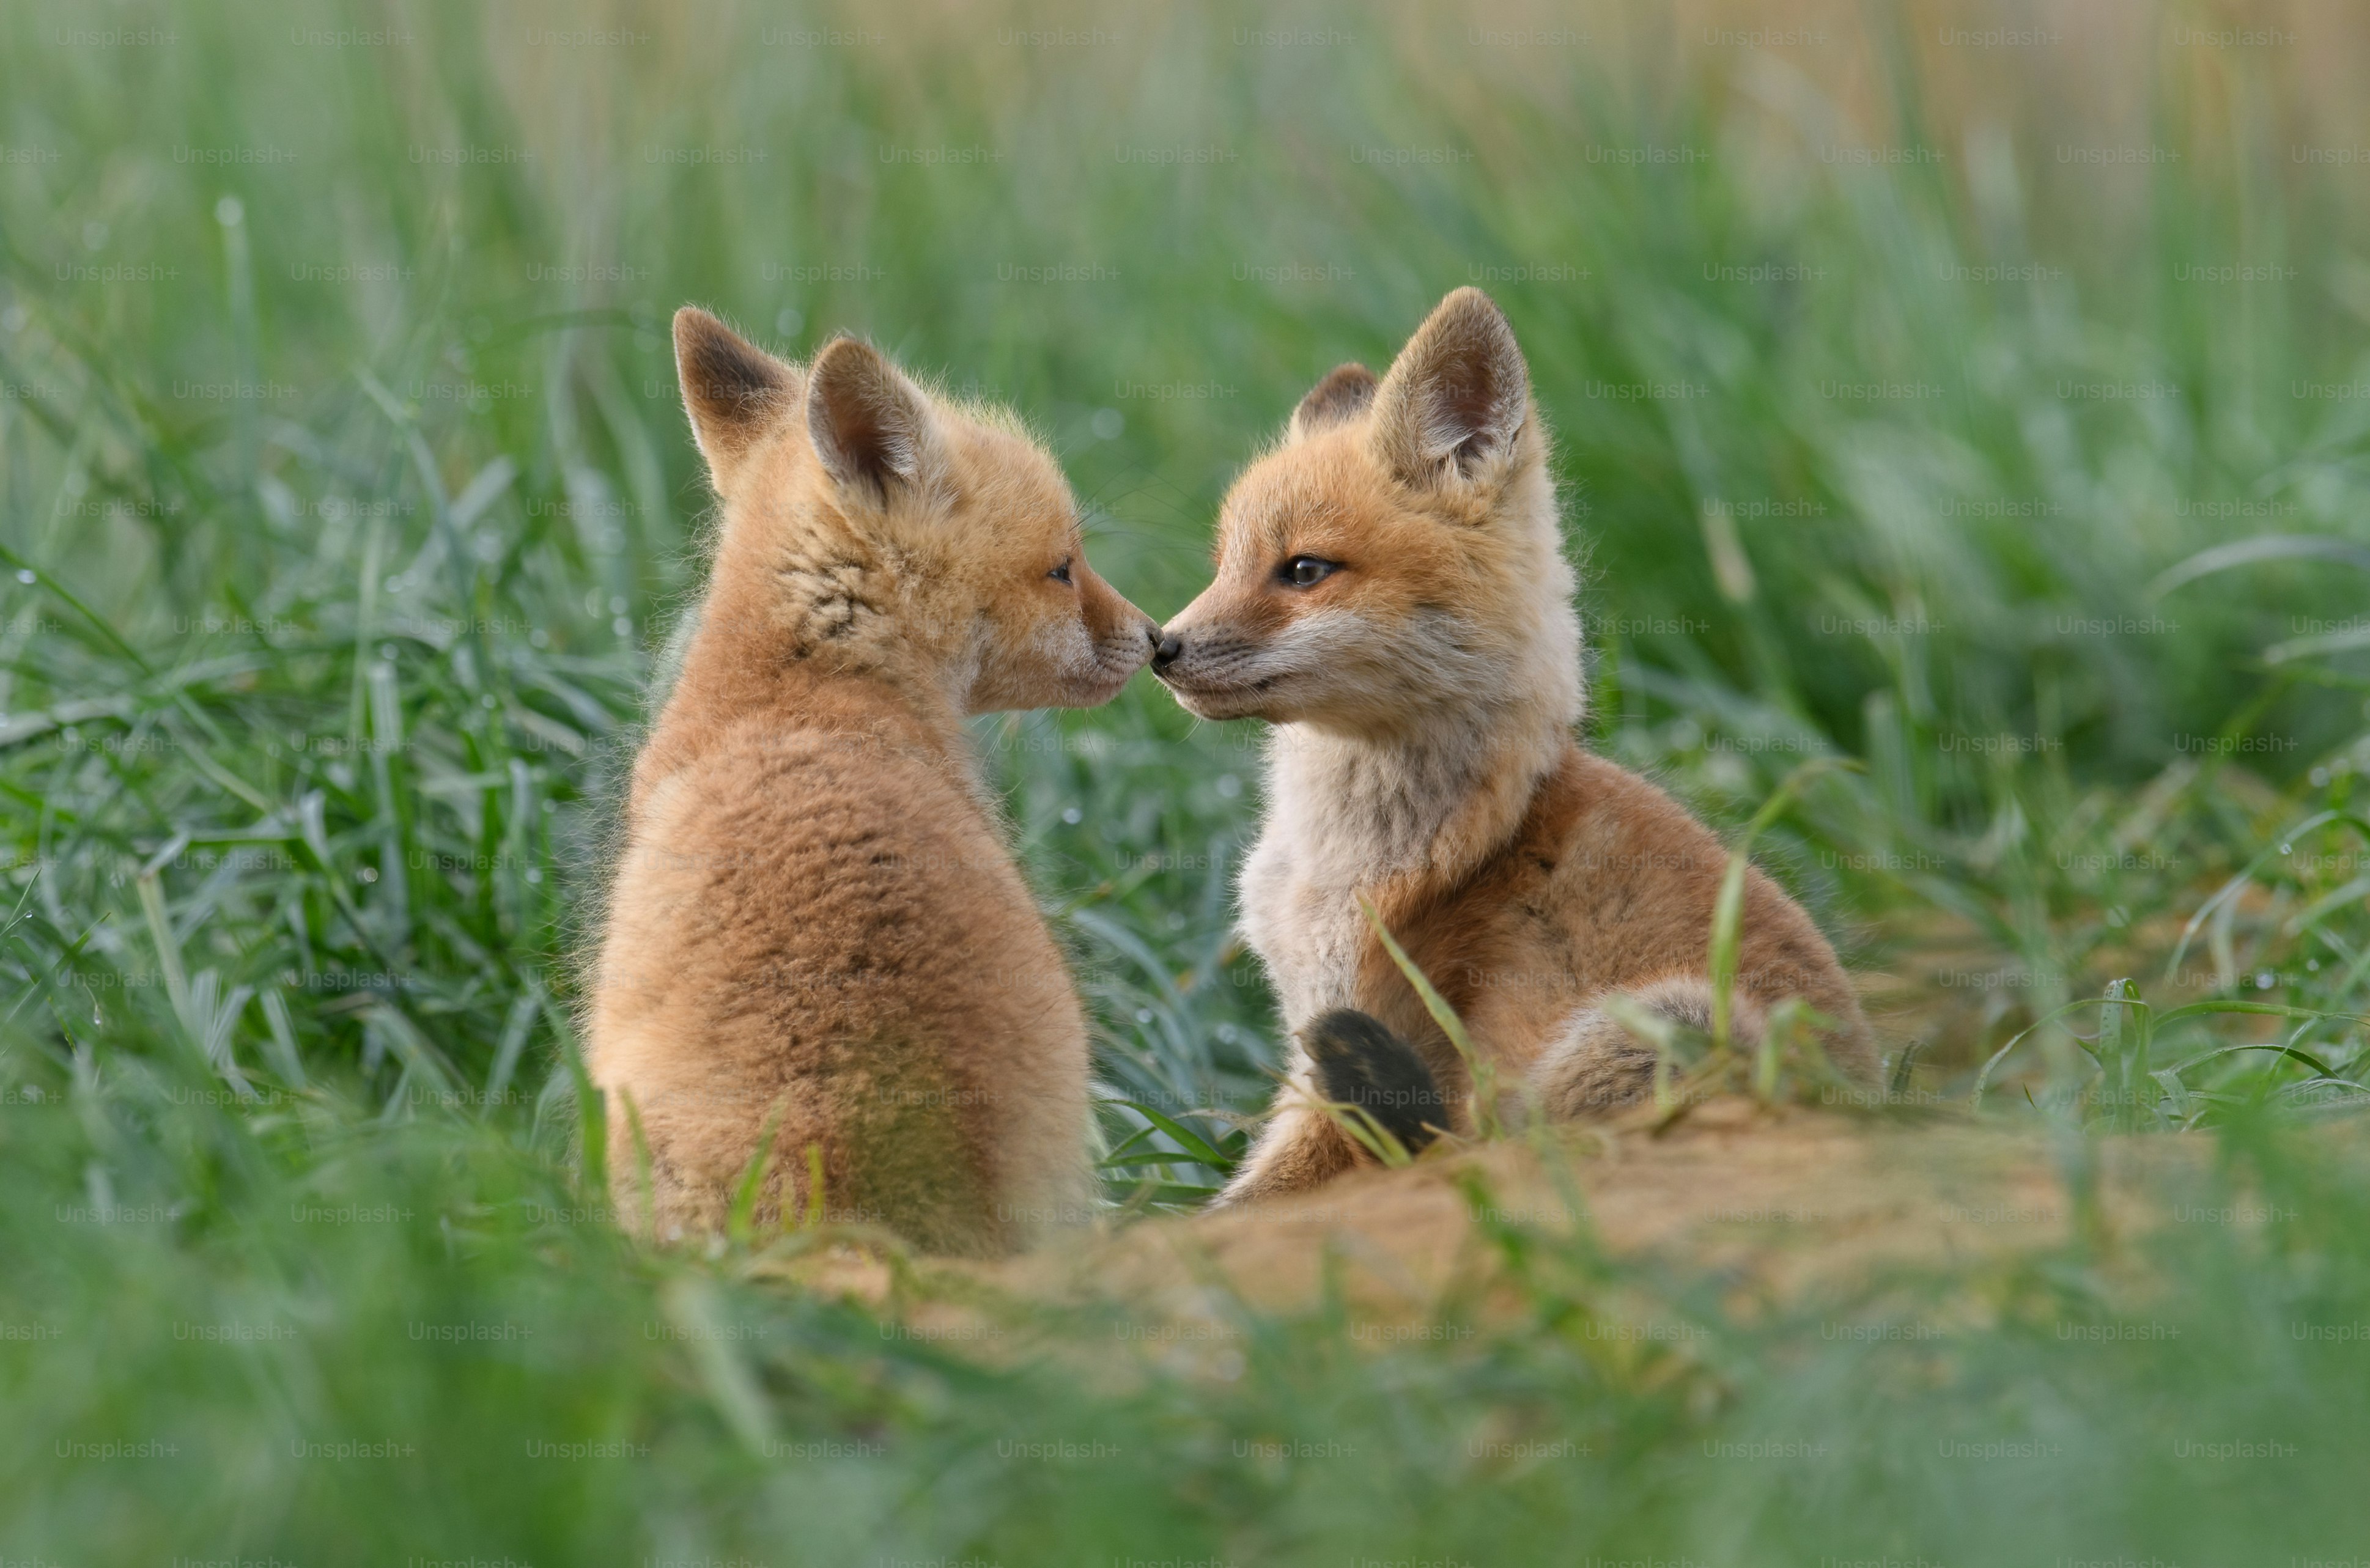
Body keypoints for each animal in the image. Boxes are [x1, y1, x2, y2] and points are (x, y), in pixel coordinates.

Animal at [1152, 287, 1876, 1203]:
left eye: (1305, 570)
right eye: (1222, 566)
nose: (1159, 646)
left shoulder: (1360, 1041)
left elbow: (1244, 1202)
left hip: (1656, 1027)